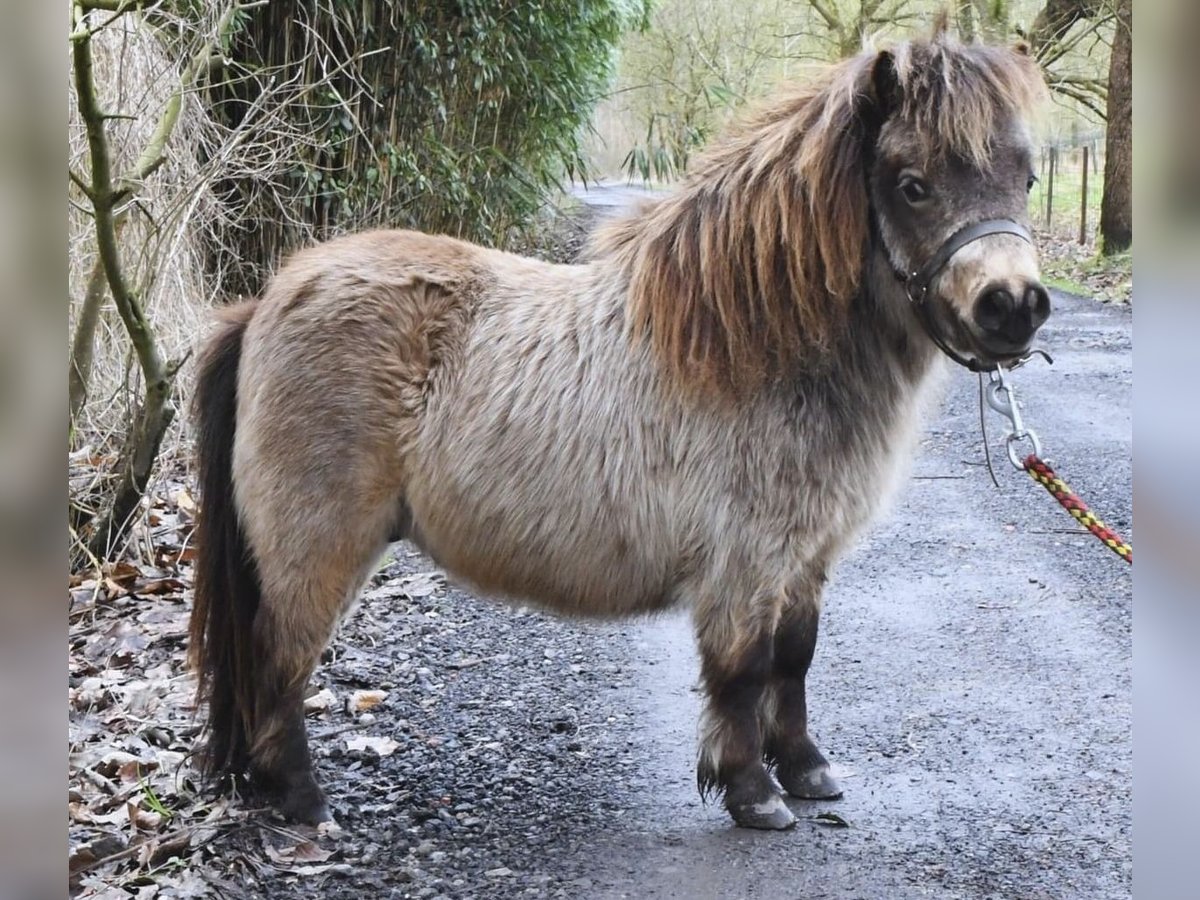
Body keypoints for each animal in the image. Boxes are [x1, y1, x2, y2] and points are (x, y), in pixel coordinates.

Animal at [189, 27, 1050, 831]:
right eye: (913, 186)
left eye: (1028, 177)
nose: (1013, 306)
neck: (752, 344)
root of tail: (269, 299)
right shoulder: (745, 563)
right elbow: (744, 669)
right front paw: (753, 793)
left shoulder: (805, 558)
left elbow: (795, 660)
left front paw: (805, 769)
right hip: (318, 547)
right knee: (280, 658)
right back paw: (303, 799)